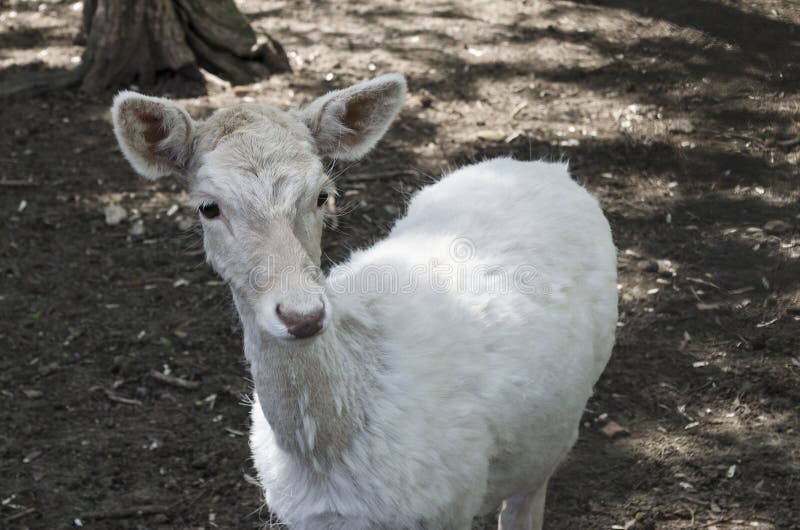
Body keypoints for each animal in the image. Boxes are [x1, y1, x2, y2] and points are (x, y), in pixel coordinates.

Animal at [112, 73, 617, 530]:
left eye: (322, 194)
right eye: (208, 207)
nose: (302, 314)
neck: (327, 465)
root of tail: (546, 166)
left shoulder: (450, 506)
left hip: (555, 434)